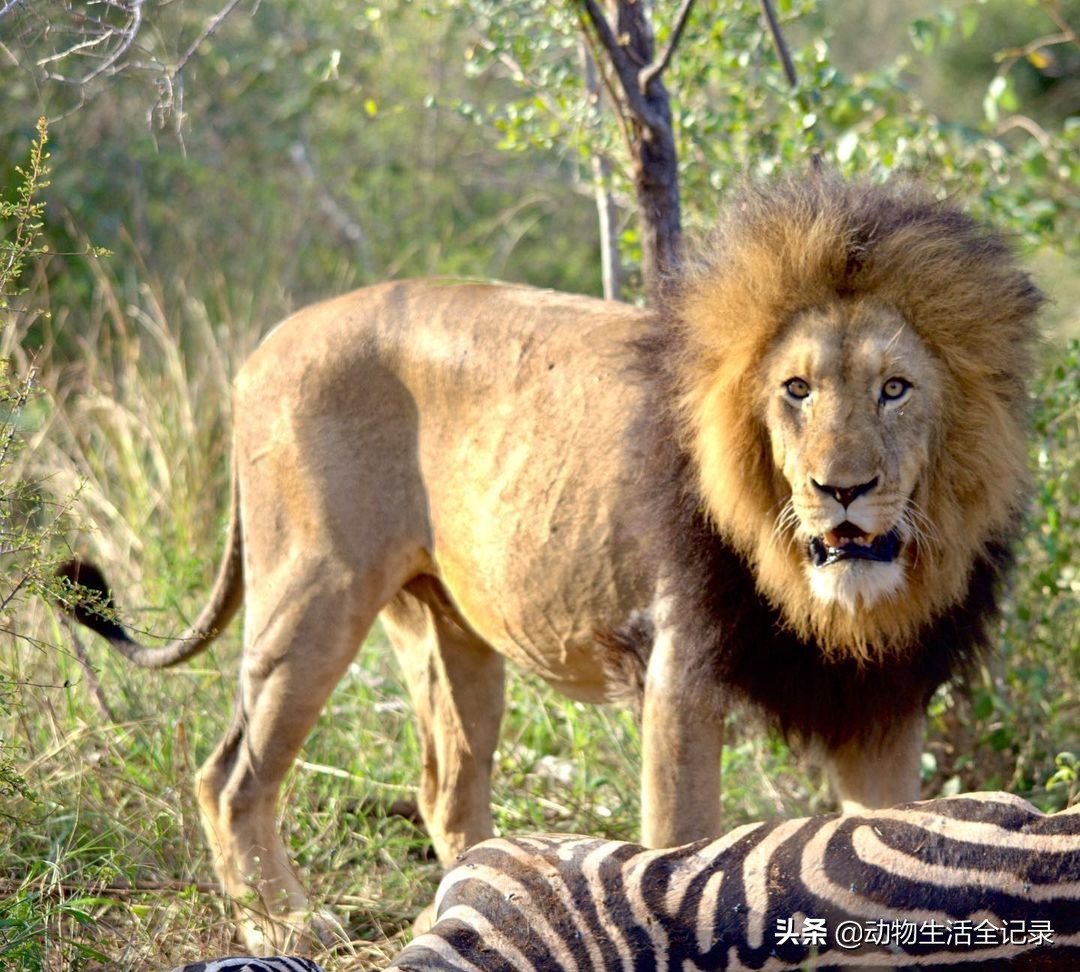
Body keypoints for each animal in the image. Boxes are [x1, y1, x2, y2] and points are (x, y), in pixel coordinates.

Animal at [60, 176, 1042, 952]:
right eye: (794, 390)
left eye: (895, 388)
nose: (842, 490)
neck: (824, 593)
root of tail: (264, 346)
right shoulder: (680, 674)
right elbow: (682, 843)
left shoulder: (882, 705)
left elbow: (888, 845)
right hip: (314, 593)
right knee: (230, 776)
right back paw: (284, 924)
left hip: (447, 633)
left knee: (446, 791)